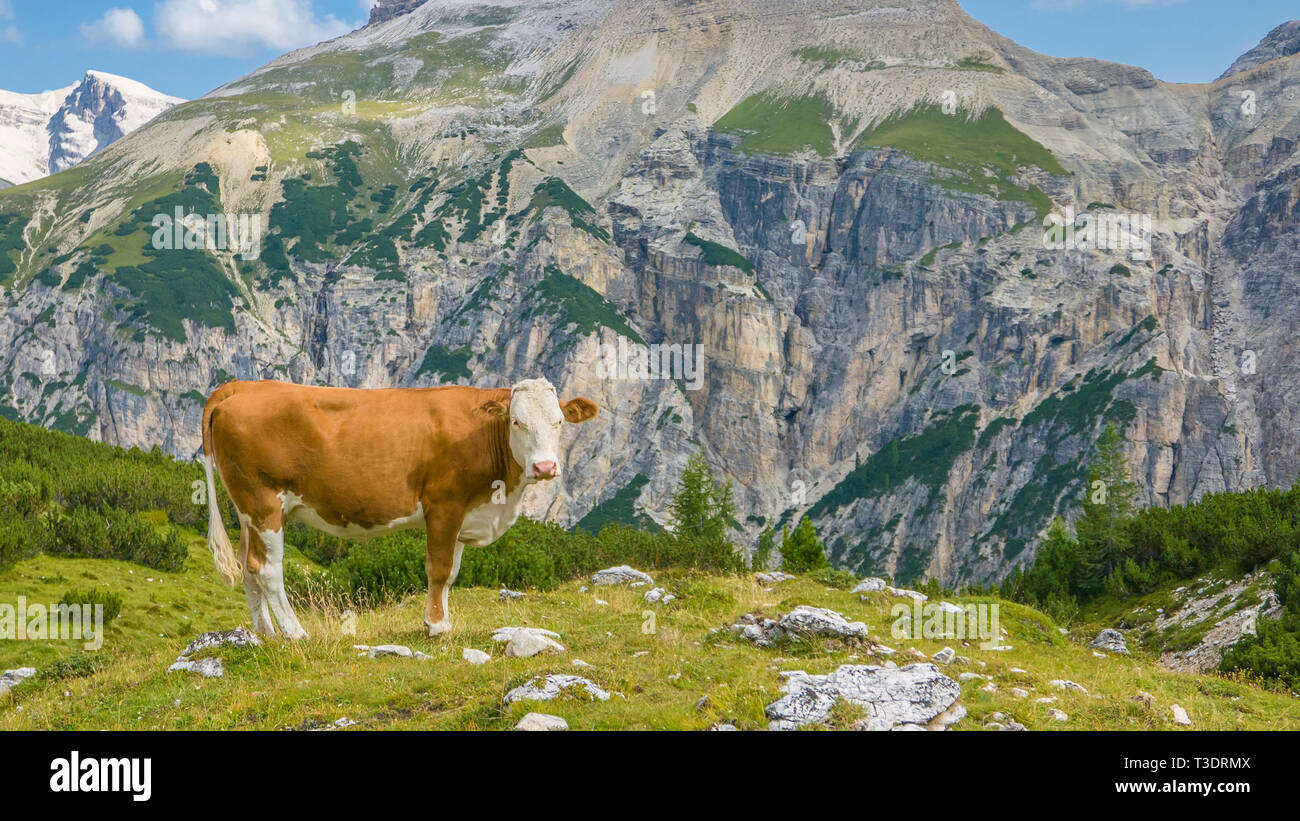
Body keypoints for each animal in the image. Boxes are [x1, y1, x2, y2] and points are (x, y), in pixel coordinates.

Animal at [199, 377, 598, 639]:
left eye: (559, 422)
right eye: (517, 421)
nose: (545, 467)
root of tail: (241, 385)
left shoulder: (464, 516)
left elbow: (451, 573)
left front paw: (444, 622)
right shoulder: (444, 506)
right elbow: (438, 570)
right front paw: (435, 626)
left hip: (247, 510)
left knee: (247, 564)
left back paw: (266, 634)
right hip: (265, 502)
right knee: (267, 568)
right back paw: (295, 633)